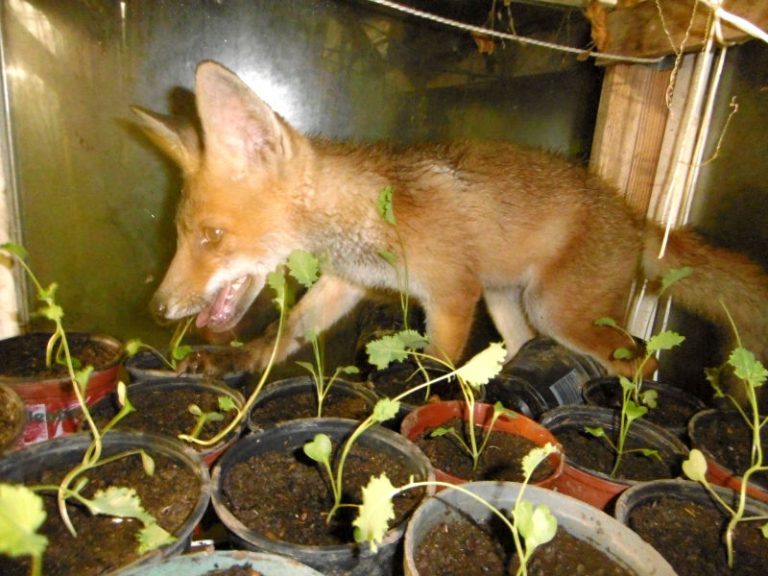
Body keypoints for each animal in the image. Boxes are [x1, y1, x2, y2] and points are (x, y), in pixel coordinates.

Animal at [133, 60, 768, 388]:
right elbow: (283, 335)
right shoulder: (345, 282)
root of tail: (635, 214)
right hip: (510, 304)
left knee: (643, 361)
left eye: (211, 237)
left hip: (557, 311)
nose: (158, 311)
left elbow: (434, 365)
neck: (365, 221)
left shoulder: (452, 295)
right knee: (526, 348)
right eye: (178, 236)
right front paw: (232, 362)